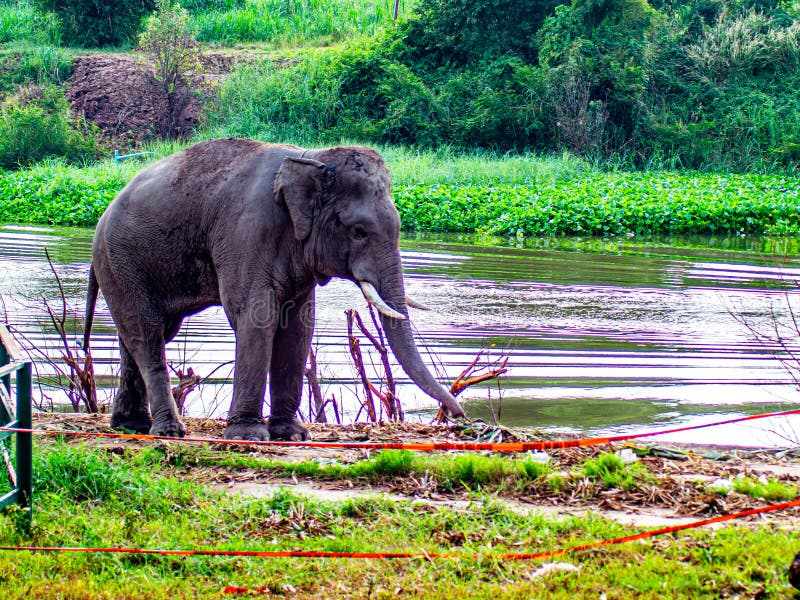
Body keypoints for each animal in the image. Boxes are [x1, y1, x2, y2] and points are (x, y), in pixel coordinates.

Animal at [83, 138, 466, 441]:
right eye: (359, 231)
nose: (460, 418)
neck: (310, 158)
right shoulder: (246, 232)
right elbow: (256, 317)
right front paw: (248, 435)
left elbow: (297, 326)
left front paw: (292, 434)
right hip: (121, 260)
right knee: (147, 332)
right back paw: (169, 431)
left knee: (143, 333)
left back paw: (130, 425)